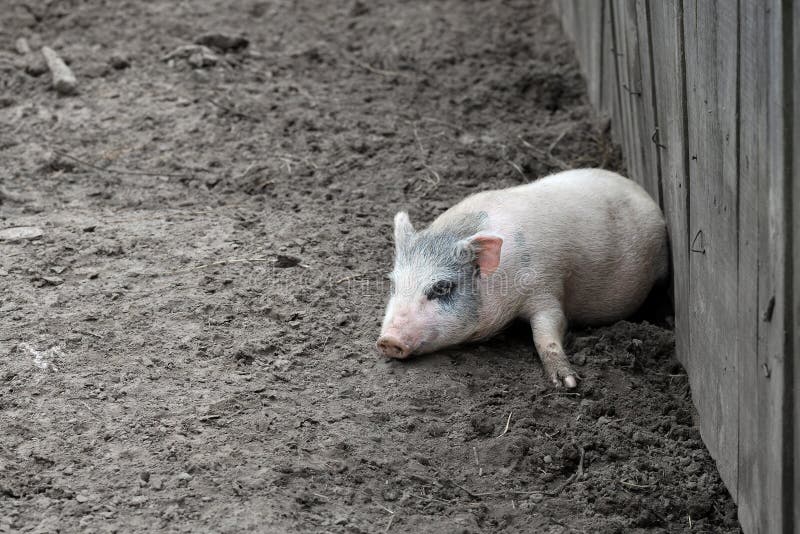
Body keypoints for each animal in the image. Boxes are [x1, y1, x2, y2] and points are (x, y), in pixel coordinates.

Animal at [376, 169, 668, 388]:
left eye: (442, 287)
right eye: (393, 284)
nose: (388, 341)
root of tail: (644, 195)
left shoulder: (546, 286)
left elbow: (547, 330)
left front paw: (567, 383)